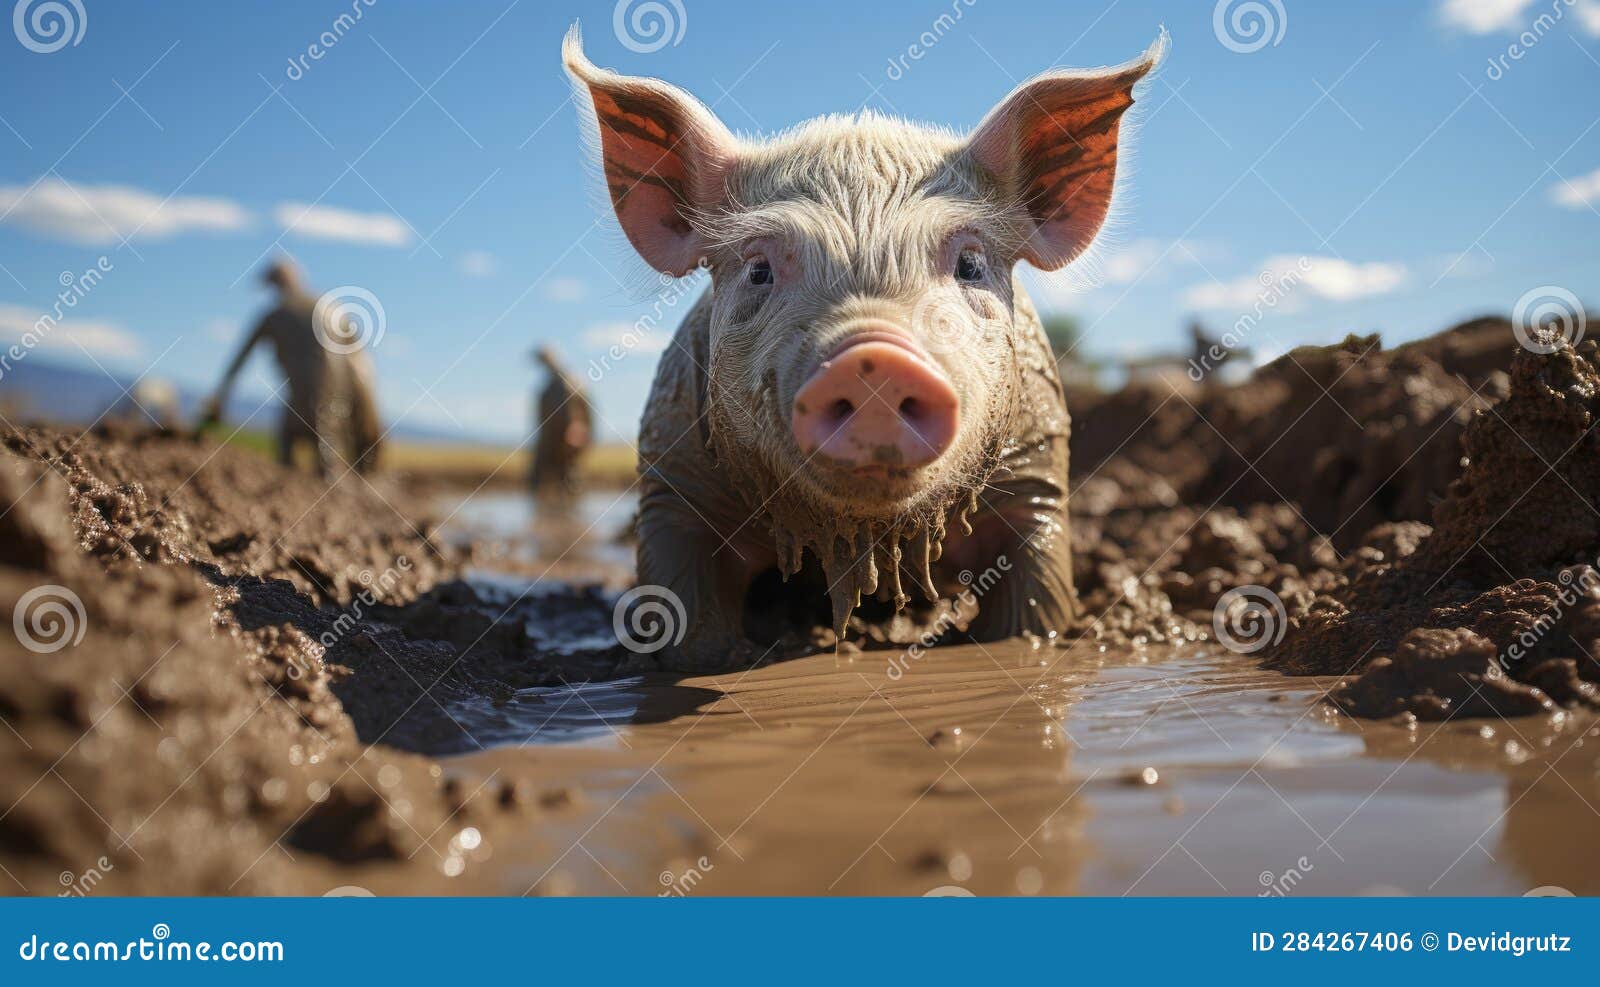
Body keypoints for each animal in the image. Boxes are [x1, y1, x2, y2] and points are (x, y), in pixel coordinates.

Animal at [564, 26, 1165, 661]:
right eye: (757, 270)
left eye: (971, 263)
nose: (873, 358)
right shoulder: (670, 484)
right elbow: (686, 615)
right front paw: (714, 659)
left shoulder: (1040, 470)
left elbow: (1034, 603)